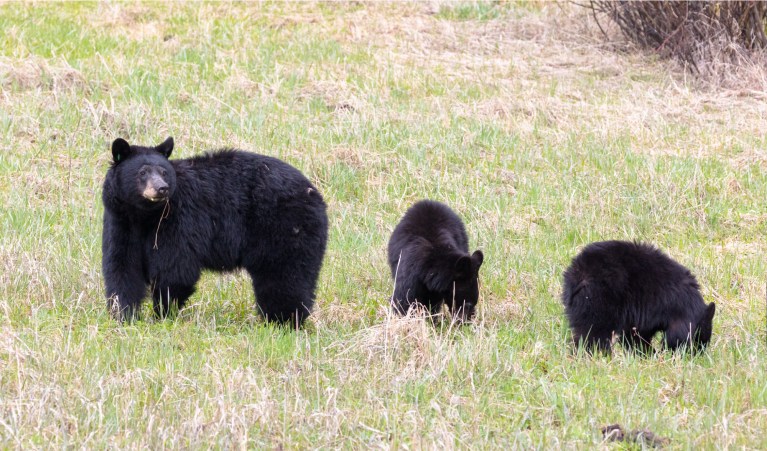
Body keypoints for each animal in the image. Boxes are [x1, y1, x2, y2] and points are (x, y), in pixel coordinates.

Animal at [101, 136, 328, 326]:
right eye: (142, 172)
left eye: (164, 172)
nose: (162, 188)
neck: (145, 216)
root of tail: (314, 192)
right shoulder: (120, 223)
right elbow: (122, 267)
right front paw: (124, 315)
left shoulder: (179, 221)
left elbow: (175, 269)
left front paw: (163, 315)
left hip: (285, 228)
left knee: (285, 277)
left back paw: (283, 321)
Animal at [561, 240, 716, 354]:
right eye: (699, 340)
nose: (696, 355)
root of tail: (578, 276)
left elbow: (633, 335)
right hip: (600, 300)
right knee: (594, 333)